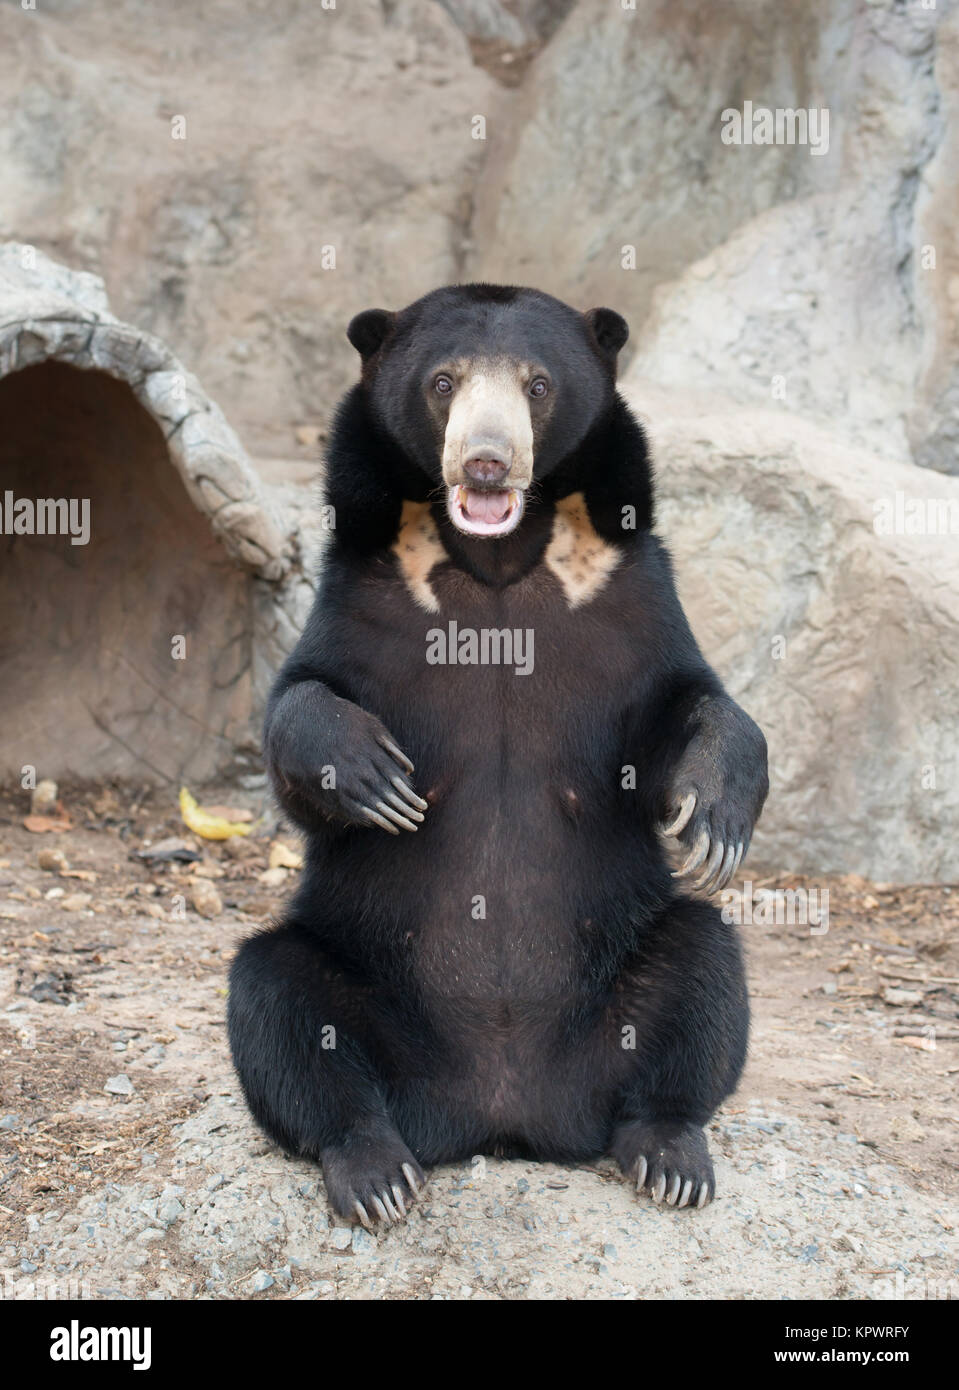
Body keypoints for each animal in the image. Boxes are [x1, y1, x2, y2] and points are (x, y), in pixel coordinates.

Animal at [228, 283, 768, 1227]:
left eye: (537, 385)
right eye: (443, 382)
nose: (485, 465)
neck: (496, 559)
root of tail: (503, 1115)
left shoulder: (626, 594)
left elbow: (681, 705)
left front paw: (713, 819)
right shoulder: (366, 588)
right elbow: (302, 701)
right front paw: (375, 777)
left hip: (613, 997)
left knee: (702, 969)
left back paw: (667, 1153)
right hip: (371, 991)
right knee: (278, 1000)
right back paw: (374, 1170)